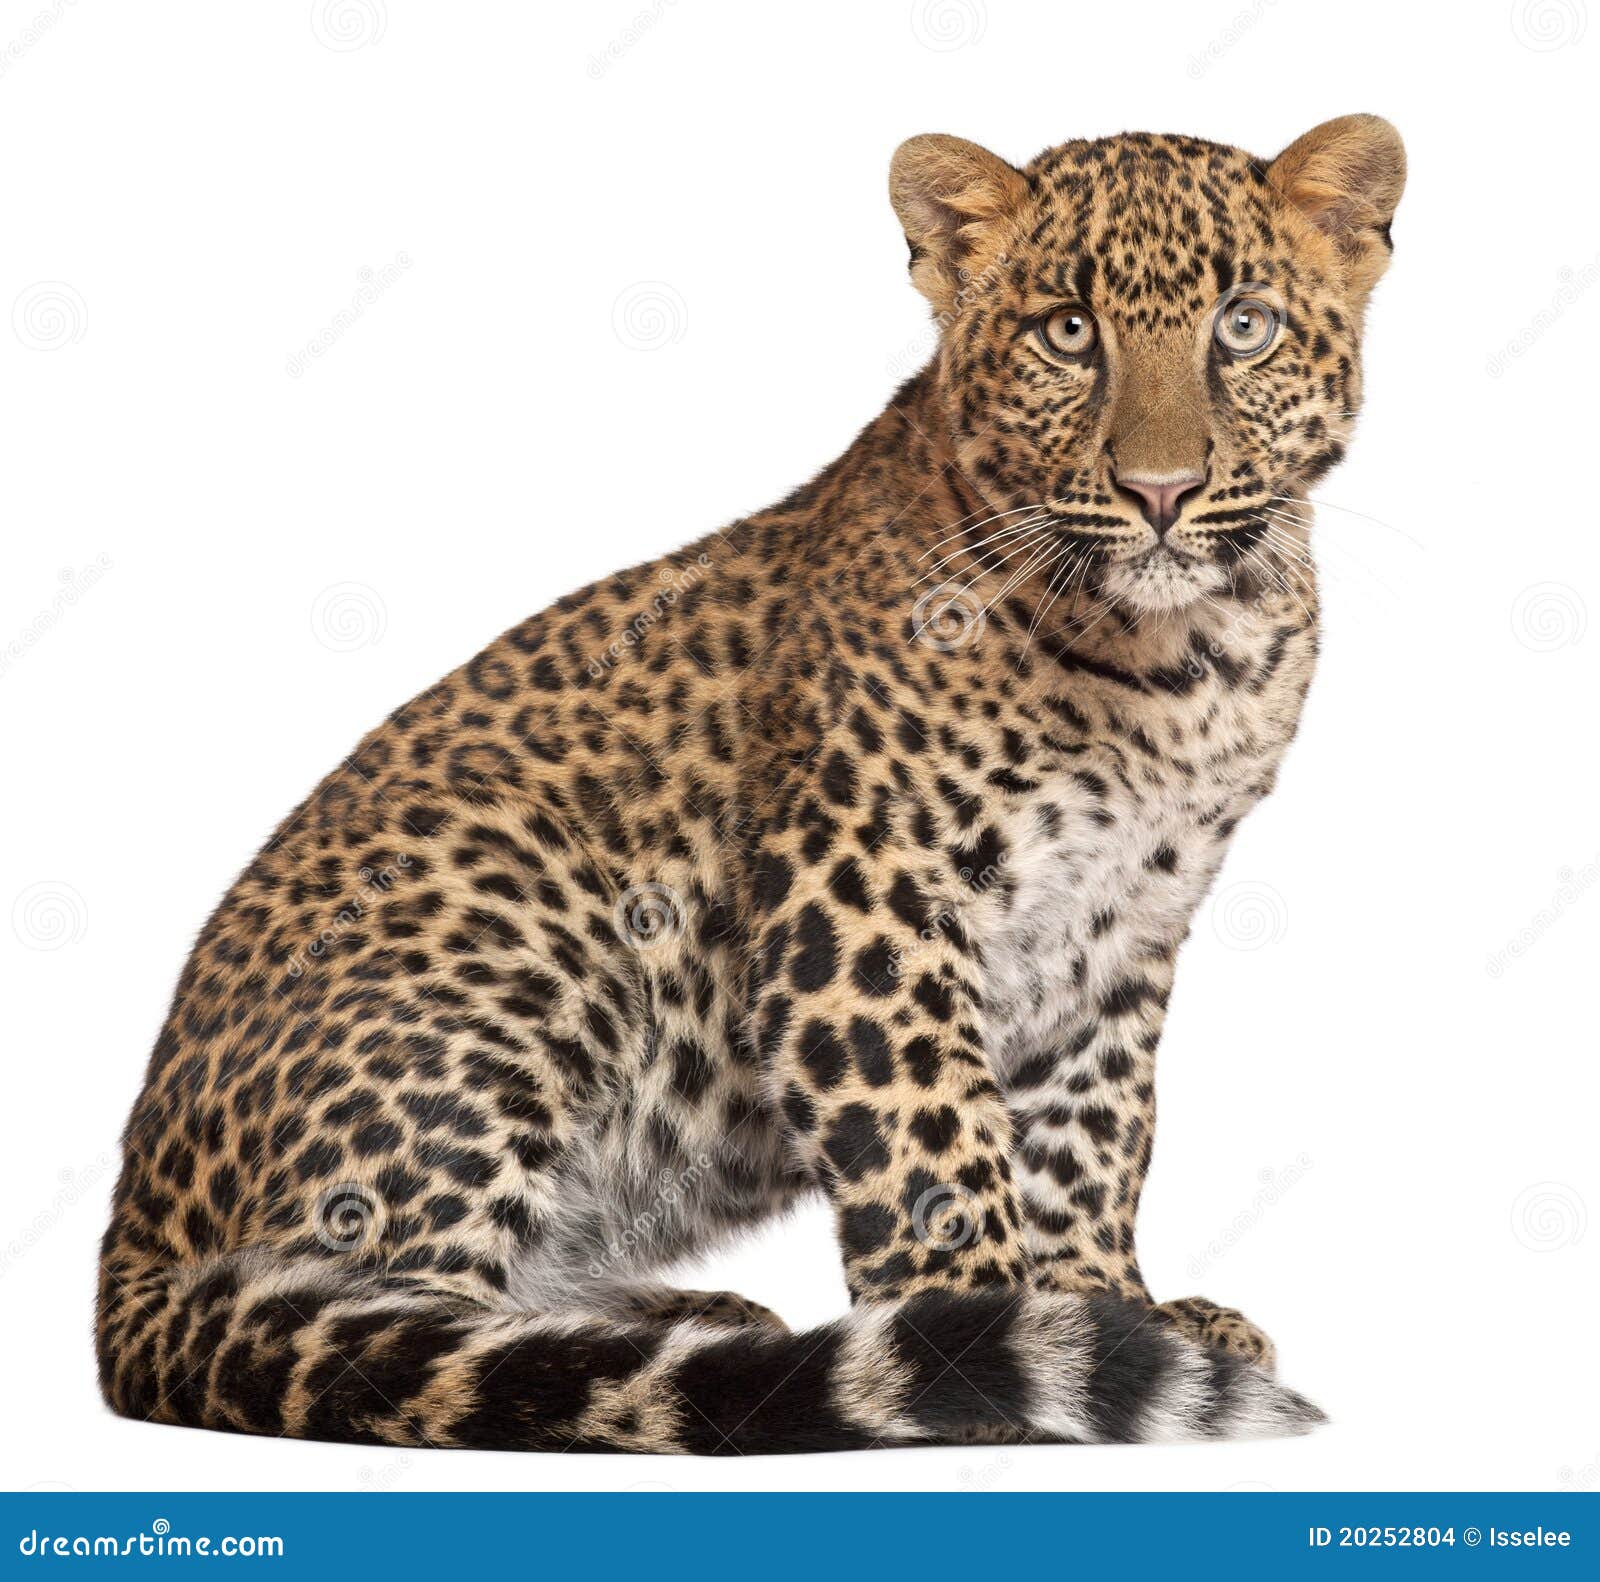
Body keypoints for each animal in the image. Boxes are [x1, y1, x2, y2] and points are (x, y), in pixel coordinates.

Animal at [96, 115, 1405, 1454]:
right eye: (1067, 330)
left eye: (1241, 325)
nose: (1160, 492)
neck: (1183, 662)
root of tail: (129, 1249)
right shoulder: (863, 890)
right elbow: (932, 1135)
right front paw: (991, 1334)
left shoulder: (1122, 926)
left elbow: (1093, 1132)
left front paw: (1106, 1306)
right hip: (519, 919)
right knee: (384, 1335)